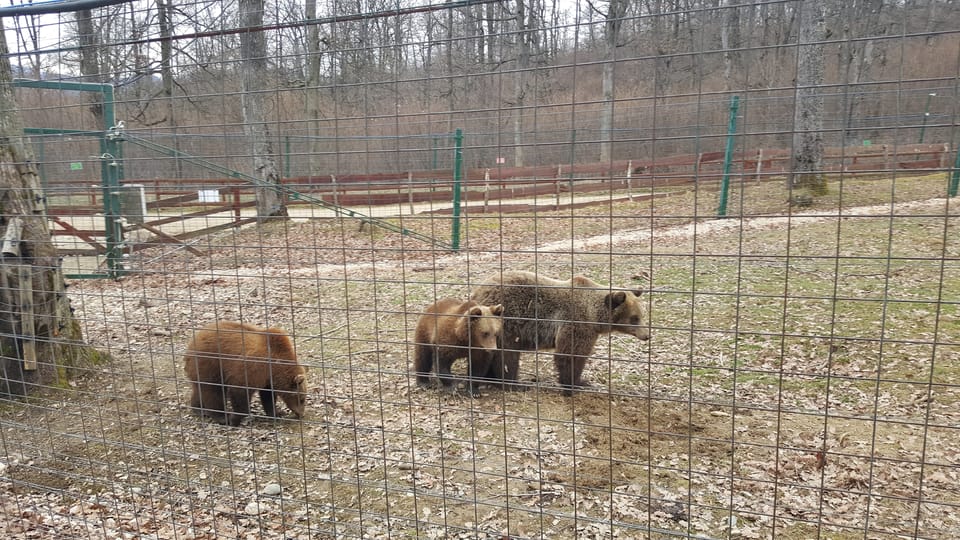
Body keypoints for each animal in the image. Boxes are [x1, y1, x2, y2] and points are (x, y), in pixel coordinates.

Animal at [470, 270, 650, 395]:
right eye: (634, 318)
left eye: (642, 314)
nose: (647, 335)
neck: (594, 315)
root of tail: (476, 293)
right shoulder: (576, 323)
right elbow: (570, 355)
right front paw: (575, 384)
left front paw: (582, 382)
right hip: (506, 324)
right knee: (507, 356)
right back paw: (514, 384)